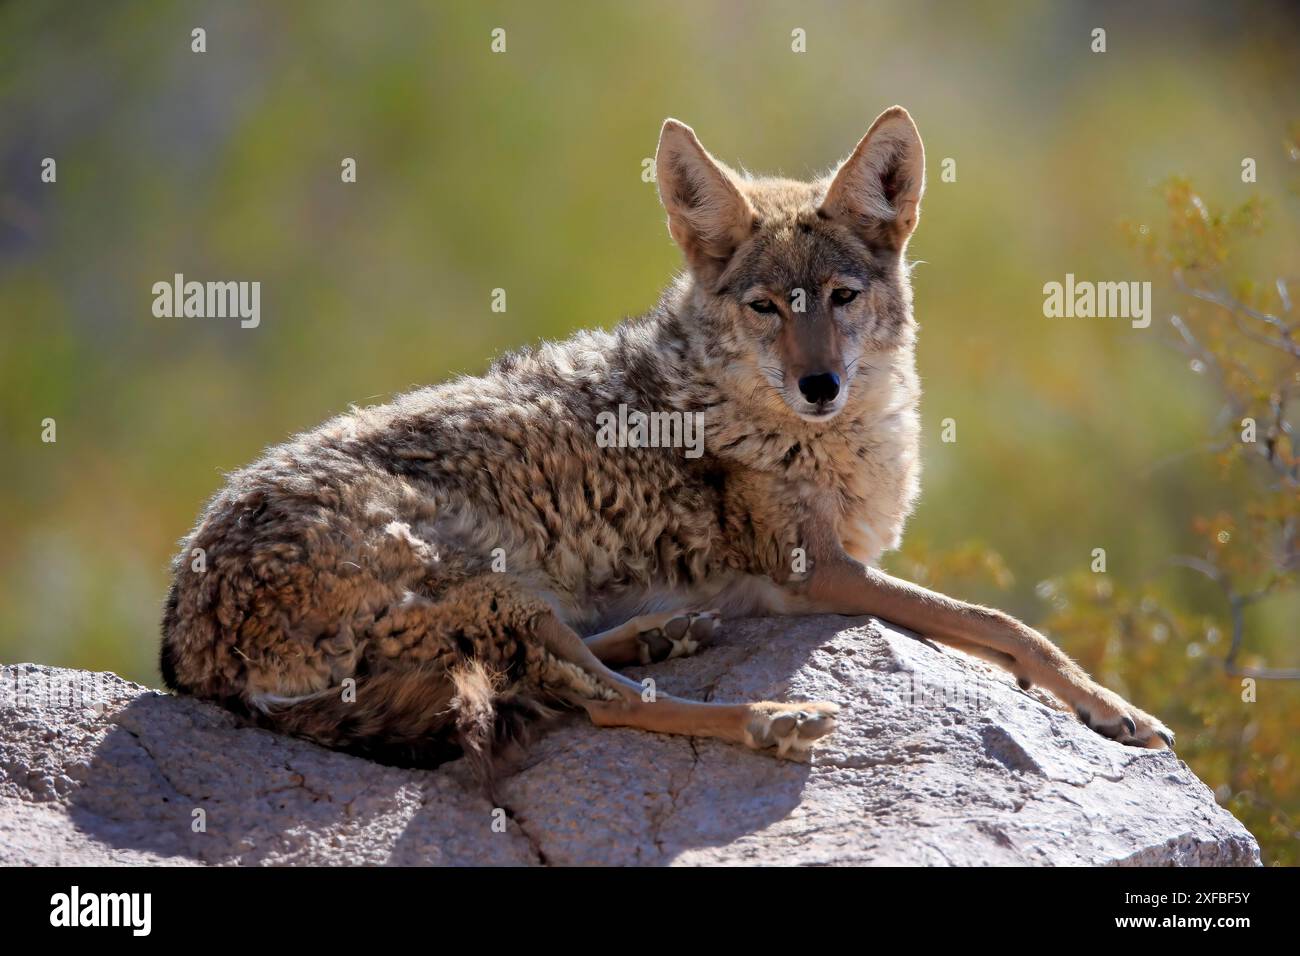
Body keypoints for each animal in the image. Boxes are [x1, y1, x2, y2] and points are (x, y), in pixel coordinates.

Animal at [160, 107, 1173, 791]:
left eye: (840, 299)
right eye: (765, 308)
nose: (820, 385)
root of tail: (185, 653)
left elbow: (1001, 628)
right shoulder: (820, 572)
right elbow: (1006, 624)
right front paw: (1115, 707)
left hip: (506, 599)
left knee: (577, 667)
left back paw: (666, 631)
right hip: (485, 584)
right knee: (591, 697)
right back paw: (771, 717)